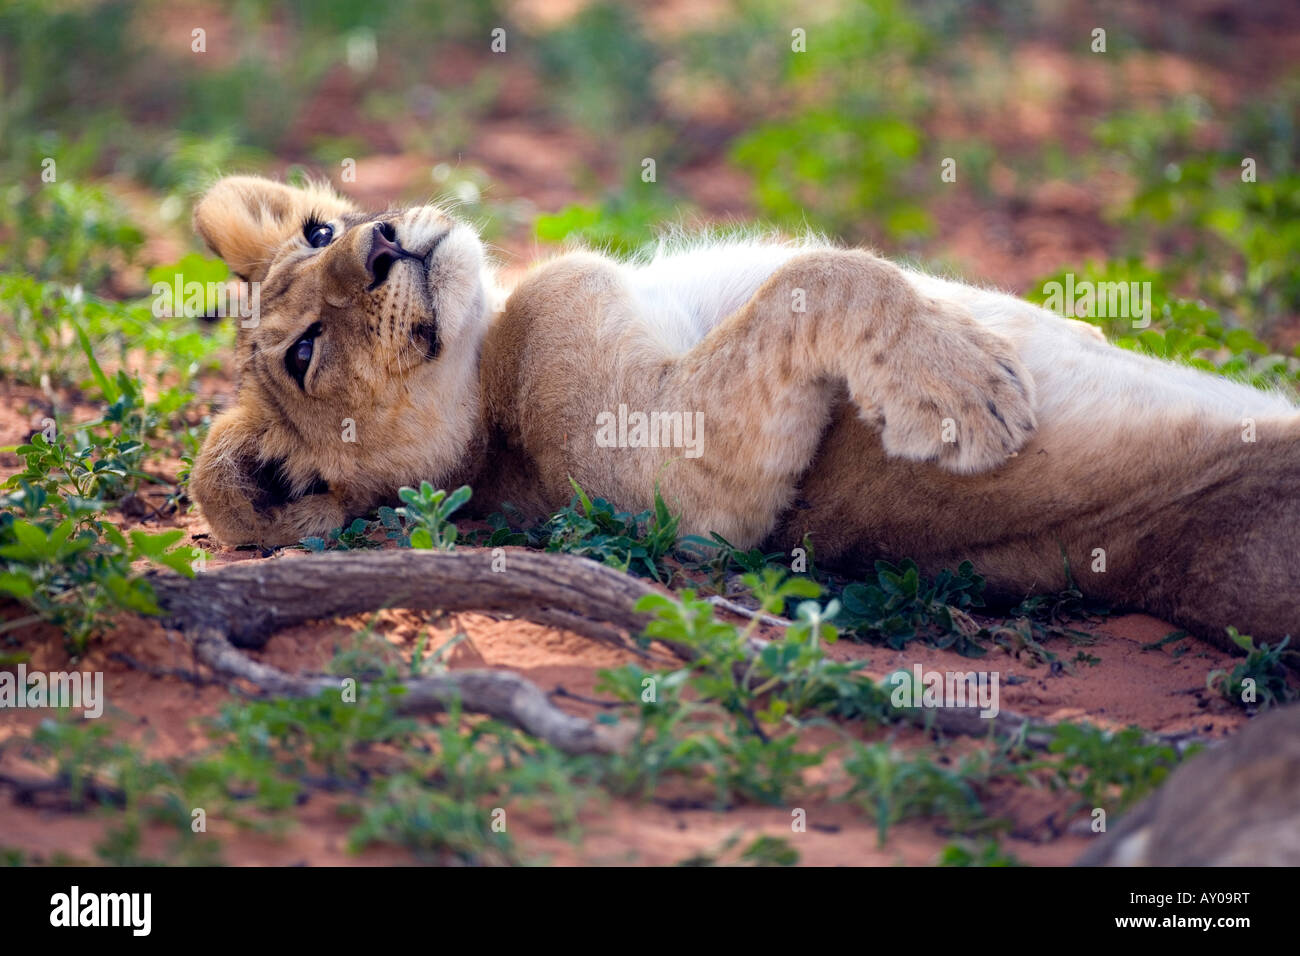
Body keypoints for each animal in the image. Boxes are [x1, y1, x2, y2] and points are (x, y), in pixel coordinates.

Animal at [188, 175, 1300, 652]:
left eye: (319, 232)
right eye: (304, 352)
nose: (379, 241)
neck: (491, 339)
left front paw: (1053, 334)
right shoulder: (682, 484)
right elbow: (821, 277)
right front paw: (962, 391)